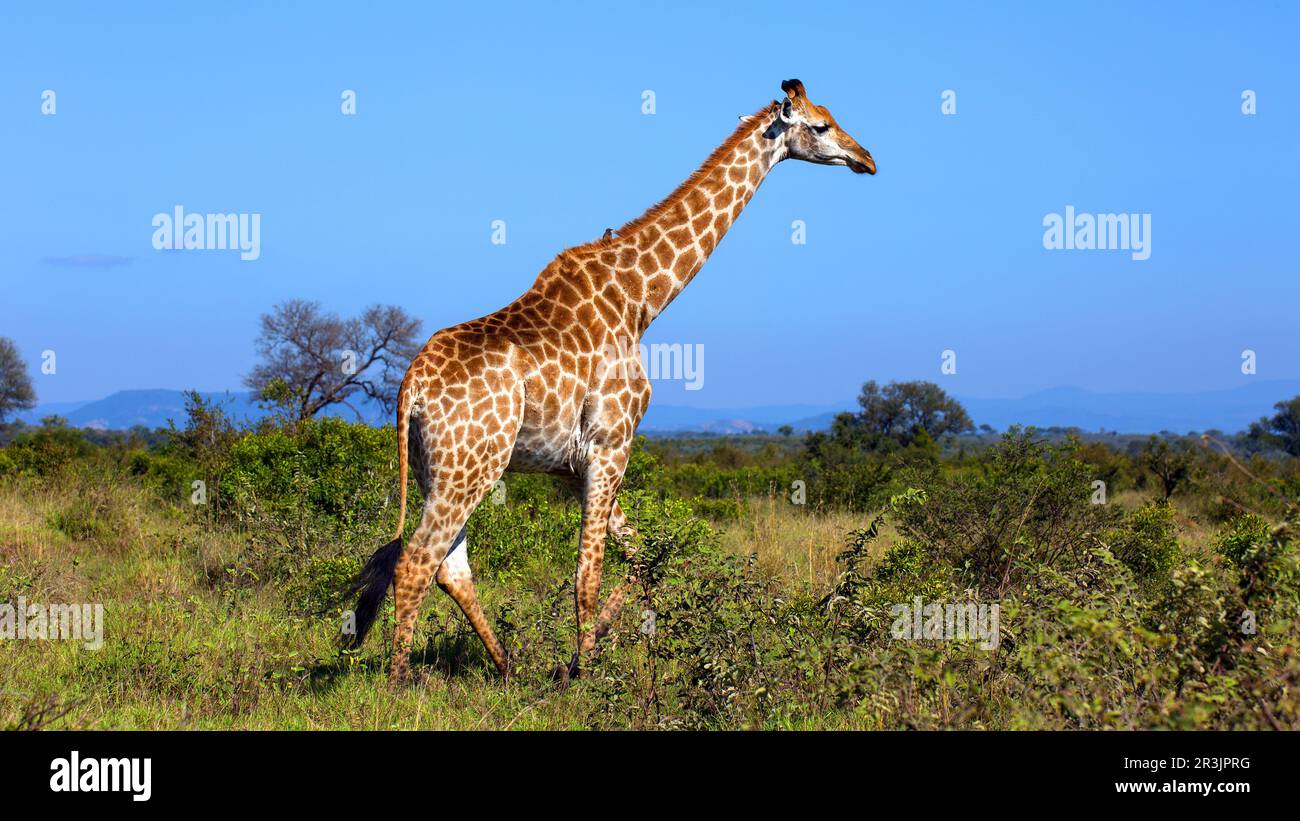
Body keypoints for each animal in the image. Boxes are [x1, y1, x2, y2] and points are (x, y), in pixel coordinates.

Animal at [347, 79, 875, 685]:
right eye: (821, 126)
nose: (867, 159)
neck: (641, 299)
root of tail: (410, 384)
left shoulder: (576, 464)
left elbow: (643, 557)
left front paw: (587, 653)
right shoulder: (610, 445)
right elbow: (590, 573)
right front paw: (587, 672)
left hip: (444, 469)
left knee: (449, 568)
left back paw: (507, 667)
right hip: (469, 466)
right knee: (417, 562)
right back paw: (399, 684)